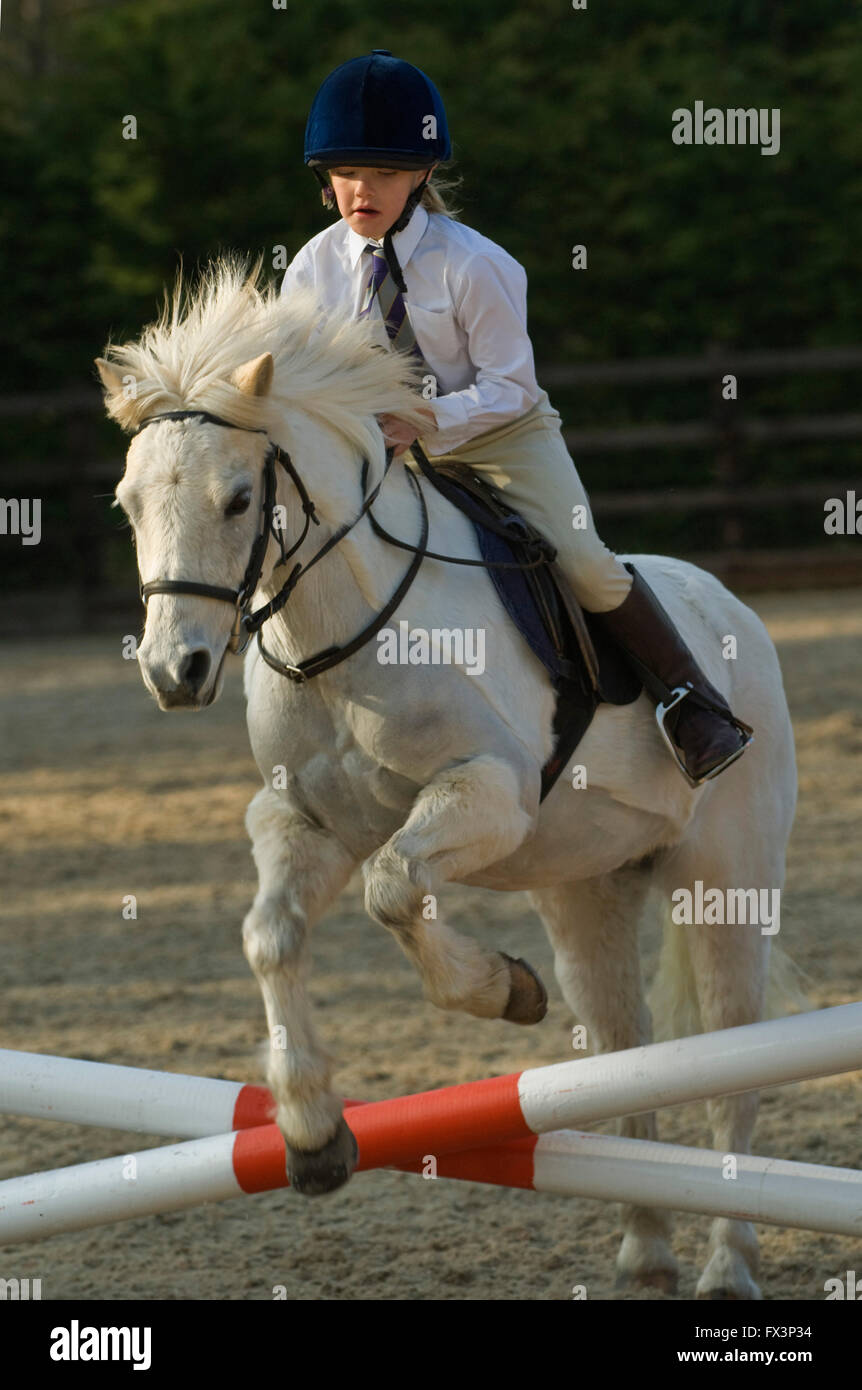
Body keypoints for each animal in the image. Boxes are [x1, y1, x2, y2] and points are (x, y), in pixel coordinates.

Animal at [99, 261, 795, 1301]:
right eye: (129, 504)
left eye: (237, 499)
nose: (173, 672)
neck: (342, 636)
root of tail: (729, 604)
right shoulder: (305, 822)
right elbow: (272, 935)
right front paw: (314, 1135)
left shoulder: (489, 798)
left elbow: (393, 890)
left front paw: (504, 991)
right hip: (587, 890)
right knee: (622, 1044)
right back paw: (644, 1250)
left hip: (725, 882)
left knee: (730, 1056)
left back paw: (728, 1264)